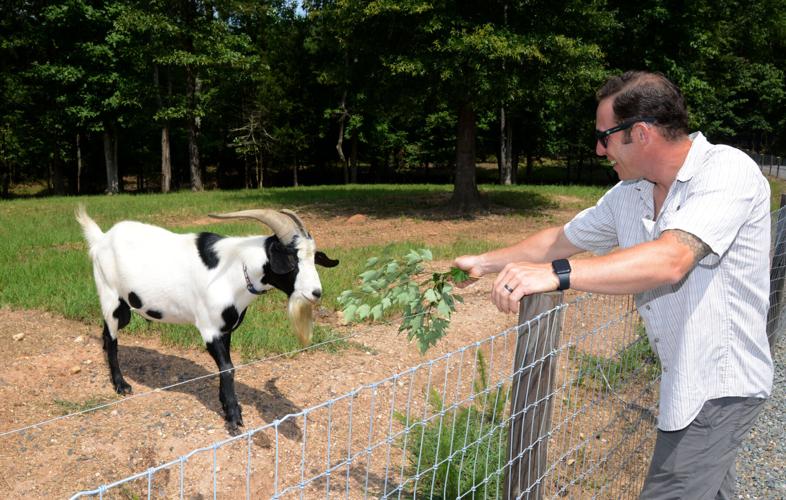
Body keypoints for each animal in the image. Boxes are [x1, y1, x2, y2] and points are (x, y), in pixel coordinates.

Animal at [75, 206, 338, 434]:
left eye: (313, 258)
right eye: (292, 260)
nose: (316, 293)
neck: (234, 272)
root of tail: (101, 238)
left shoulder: (226, 328)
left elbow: (226, 366)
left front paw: (226, 404)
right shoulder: (209, 328)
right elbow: (228, 367)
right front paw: (233, 417)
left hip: (125, 308)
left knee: (106, 332)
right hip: (110, 295)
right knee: (112, 338)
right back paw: (121, 385)